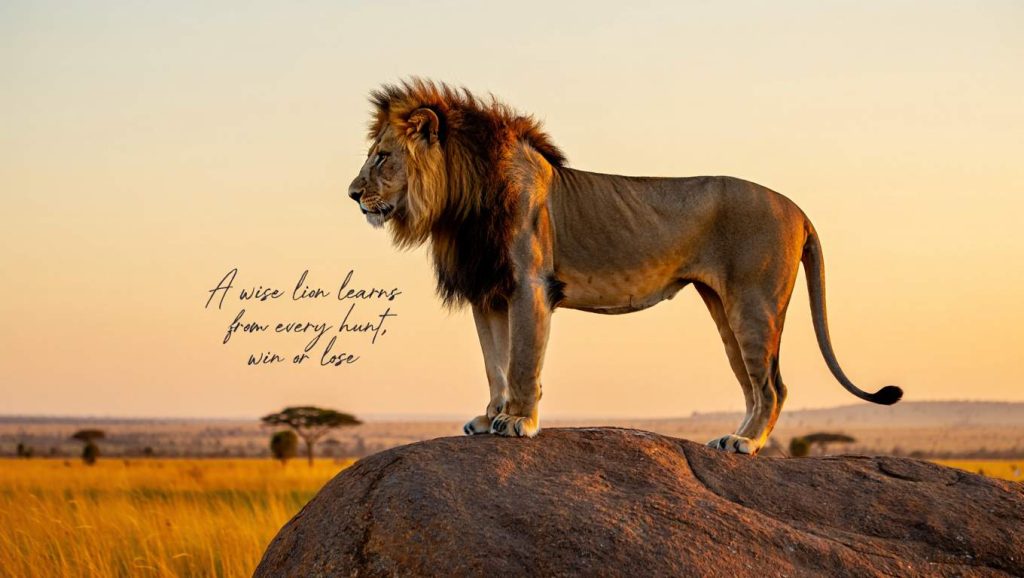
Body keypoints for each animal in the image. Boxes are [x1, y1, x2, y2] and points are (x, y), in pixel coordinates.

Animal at [346, 79, 902, 455]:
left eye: (382, 157)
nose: (352, 194)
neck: (460, 205)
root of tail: (797, 208)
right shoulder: (488, 293)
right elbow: (494, 365)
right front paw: (489, 418)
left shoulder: (530, 286)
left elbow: (522, 362)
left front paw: (519, 422)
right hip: (725, 309)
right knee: (753, 384)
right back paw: (735, 439)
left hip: (754, 304)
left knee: (773, 386)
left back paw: (746, 445)